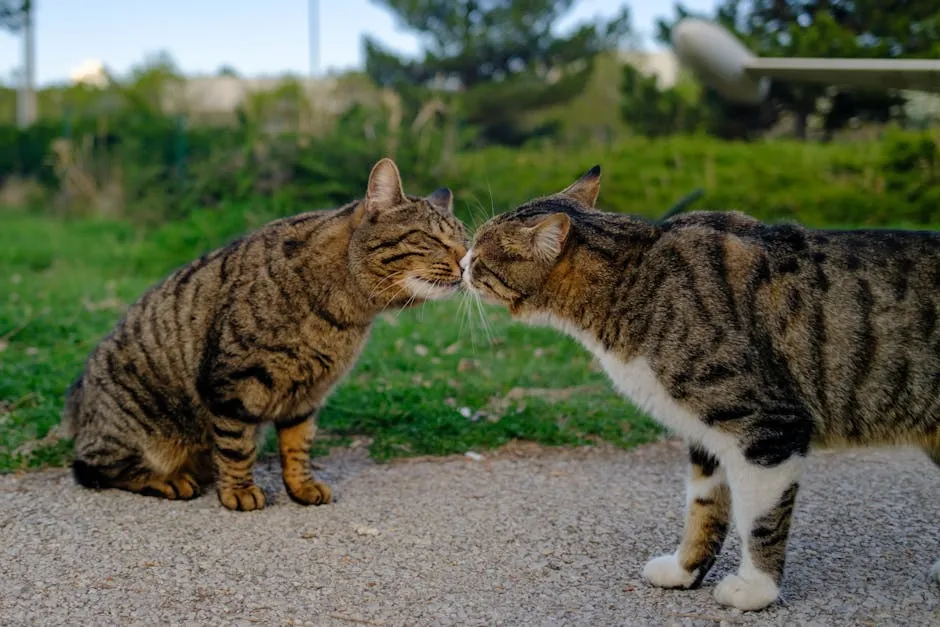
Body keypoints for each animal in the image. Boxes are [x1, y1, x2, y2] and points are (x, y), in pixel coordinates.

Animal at [62, 159, 466, 512]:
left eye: (465, 241)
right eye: (433, 238)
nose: (466, 263)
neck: (342, 313)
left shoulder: (308, 396)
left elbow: (298, 446)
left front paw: (301, 486)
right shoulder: (232, 385)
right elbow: (236, 445)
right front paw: (239, 491)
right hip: (133, 427)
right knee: (91, 468)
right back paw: (171, 479)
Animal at [462, 166, 940, 608]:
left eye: (481, 251)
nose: (462, 262)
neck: (633, 281)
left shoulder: (770, 428)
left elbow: (761, 521)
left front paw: (755, 590)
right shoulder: (706, 433)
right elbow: (704, 508)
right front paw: (685, 570)